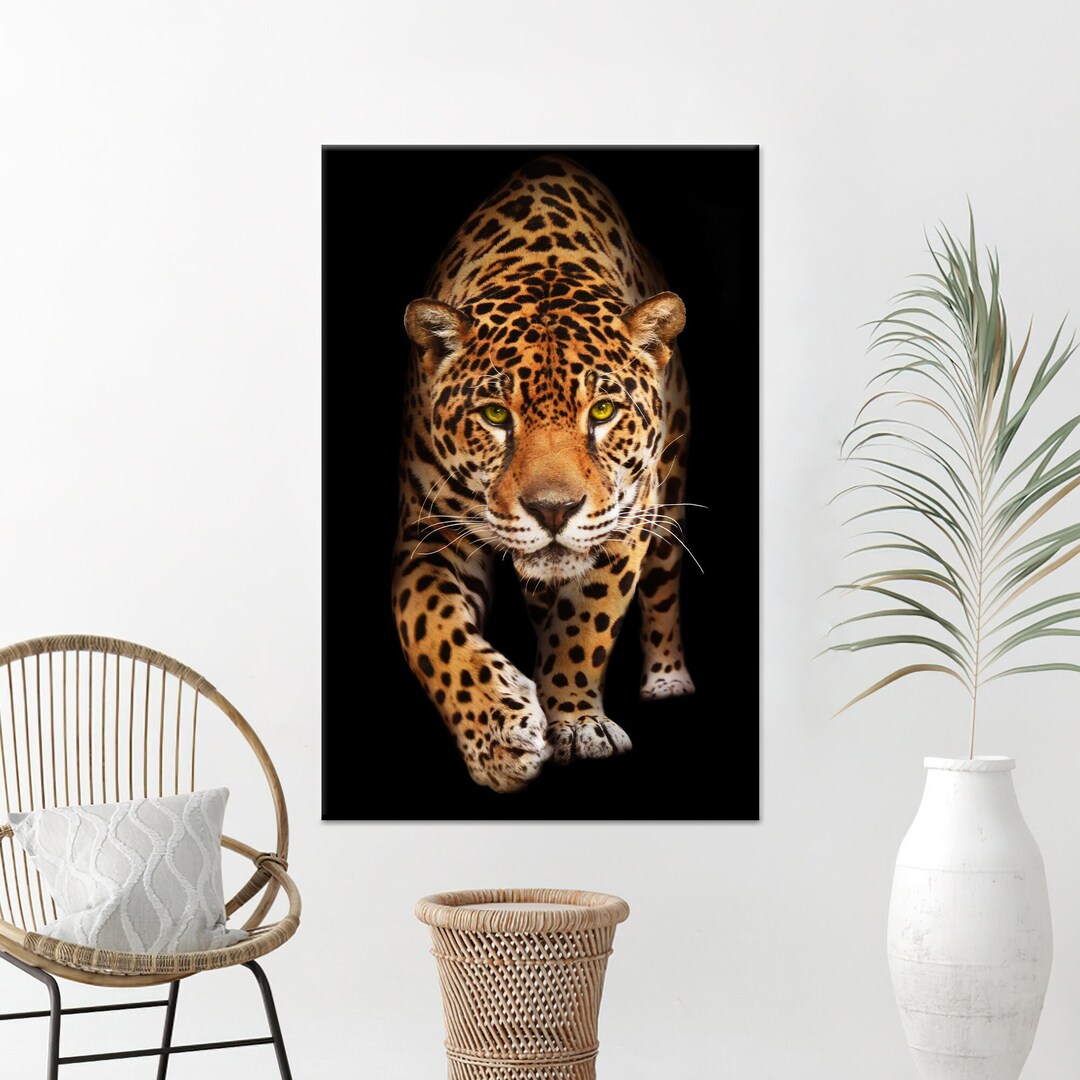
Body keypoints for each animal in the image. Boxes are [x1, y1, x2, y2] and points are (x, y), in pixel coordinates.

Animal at [392, 154, 694, 793]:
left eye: (602, 412)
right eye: (494, 415)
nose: (553, 510)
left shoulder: (626, 520)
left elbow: (585, 624)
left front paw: (576, 722)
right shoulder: (428, 534)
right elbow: (432, 631)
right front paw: (499, 737)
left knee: (663, 585)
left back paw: (667, 678)